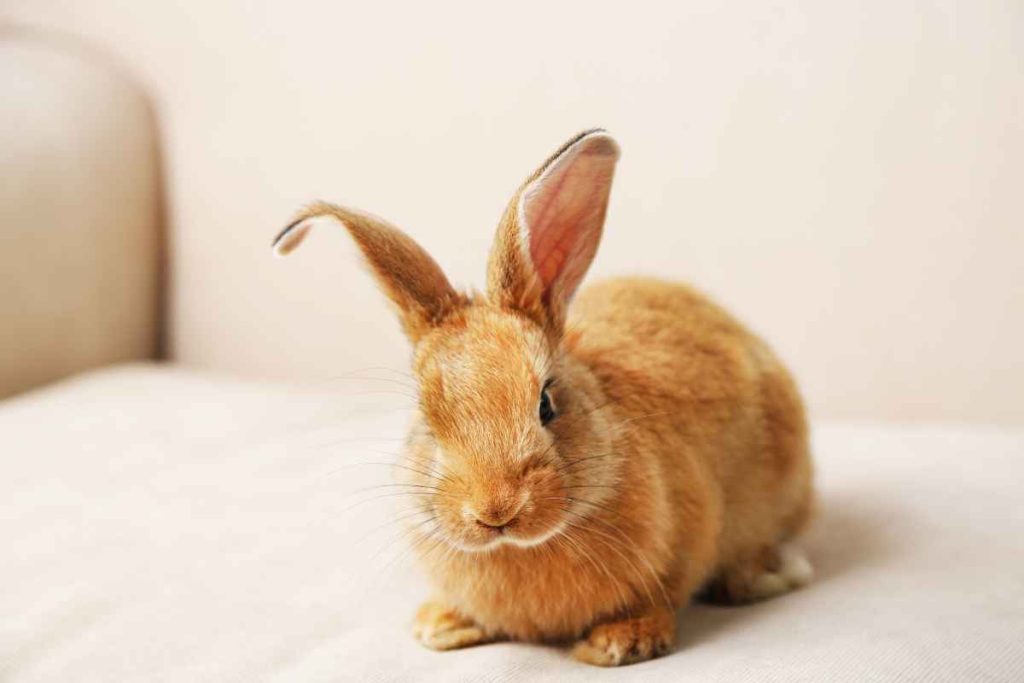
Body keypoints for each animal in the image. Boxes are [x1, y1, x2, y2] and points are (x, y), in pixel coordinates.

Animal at [273, 129, 814, 666]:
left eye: (546, 405)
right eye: (426, 419)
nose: (495, 510)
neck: (520, 547)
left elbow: (660, 598)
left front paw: (621, 642)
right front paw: (440, 625)